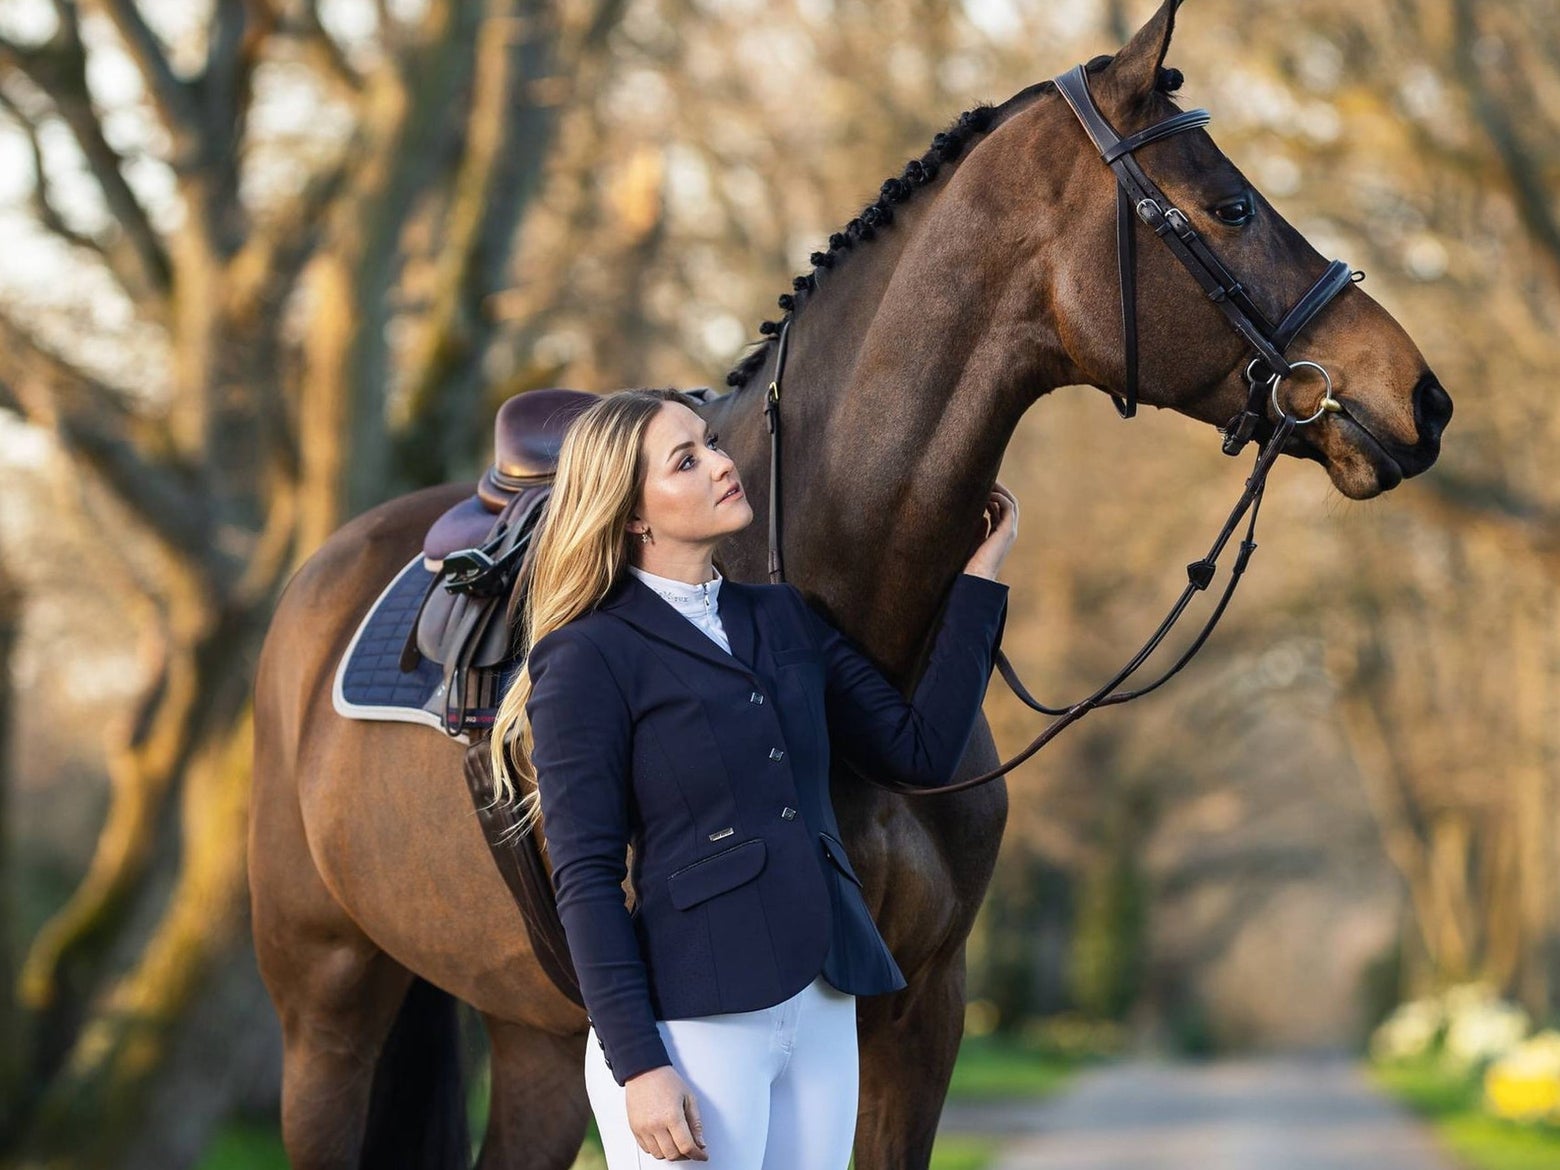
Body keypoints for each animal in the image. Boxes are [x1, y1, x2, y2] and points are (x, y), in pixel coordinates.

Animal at [248, 2, 1452, 1166]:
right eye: (1231, 207)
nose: (1422, 397)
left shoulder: (920, 1010)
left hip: (534, 1030)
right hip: (331, 1011)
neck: (861, 629)